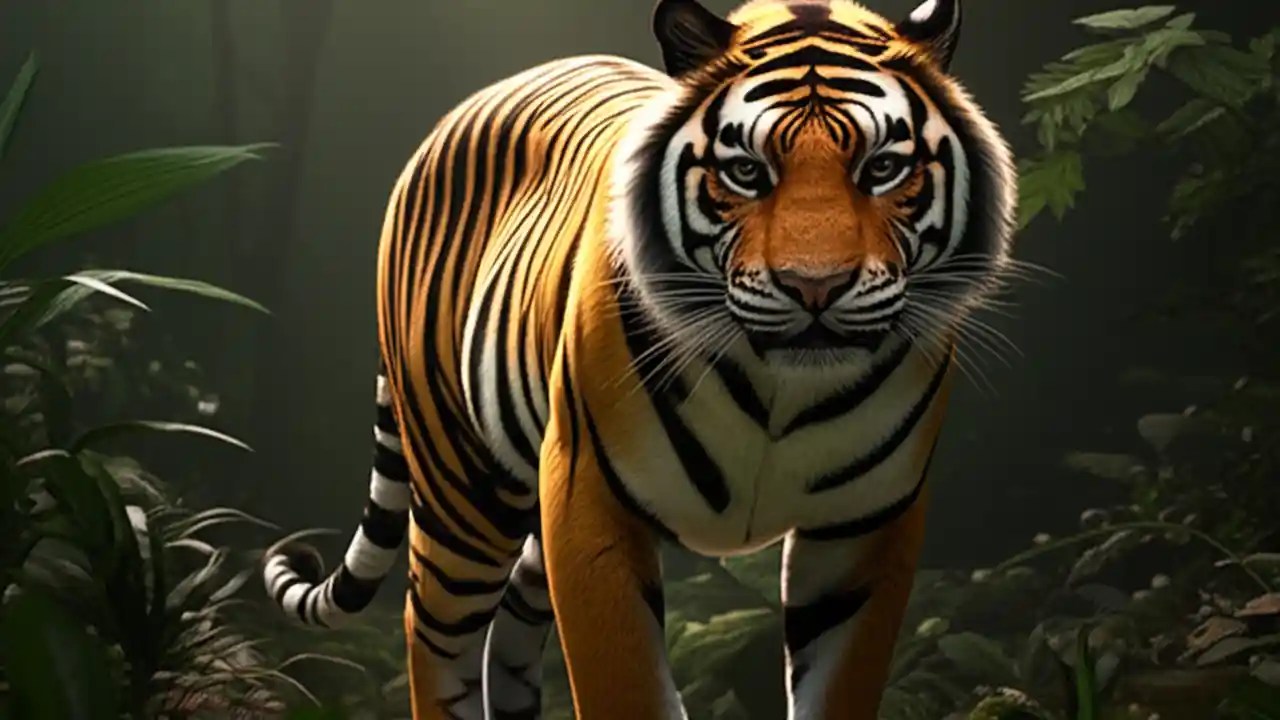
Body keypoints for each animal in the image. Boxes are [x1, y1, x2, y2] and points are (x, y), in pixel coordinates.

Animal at [262, 0, 1018, 718]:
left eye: (882, 168)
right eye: (746, 172)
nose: (815, 287)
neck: (781, 388)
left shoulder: (865, 525)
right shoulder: (589, 498)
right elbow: (623, 686)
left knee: (511, 624)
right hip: (464, 483)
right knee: (435, 631)